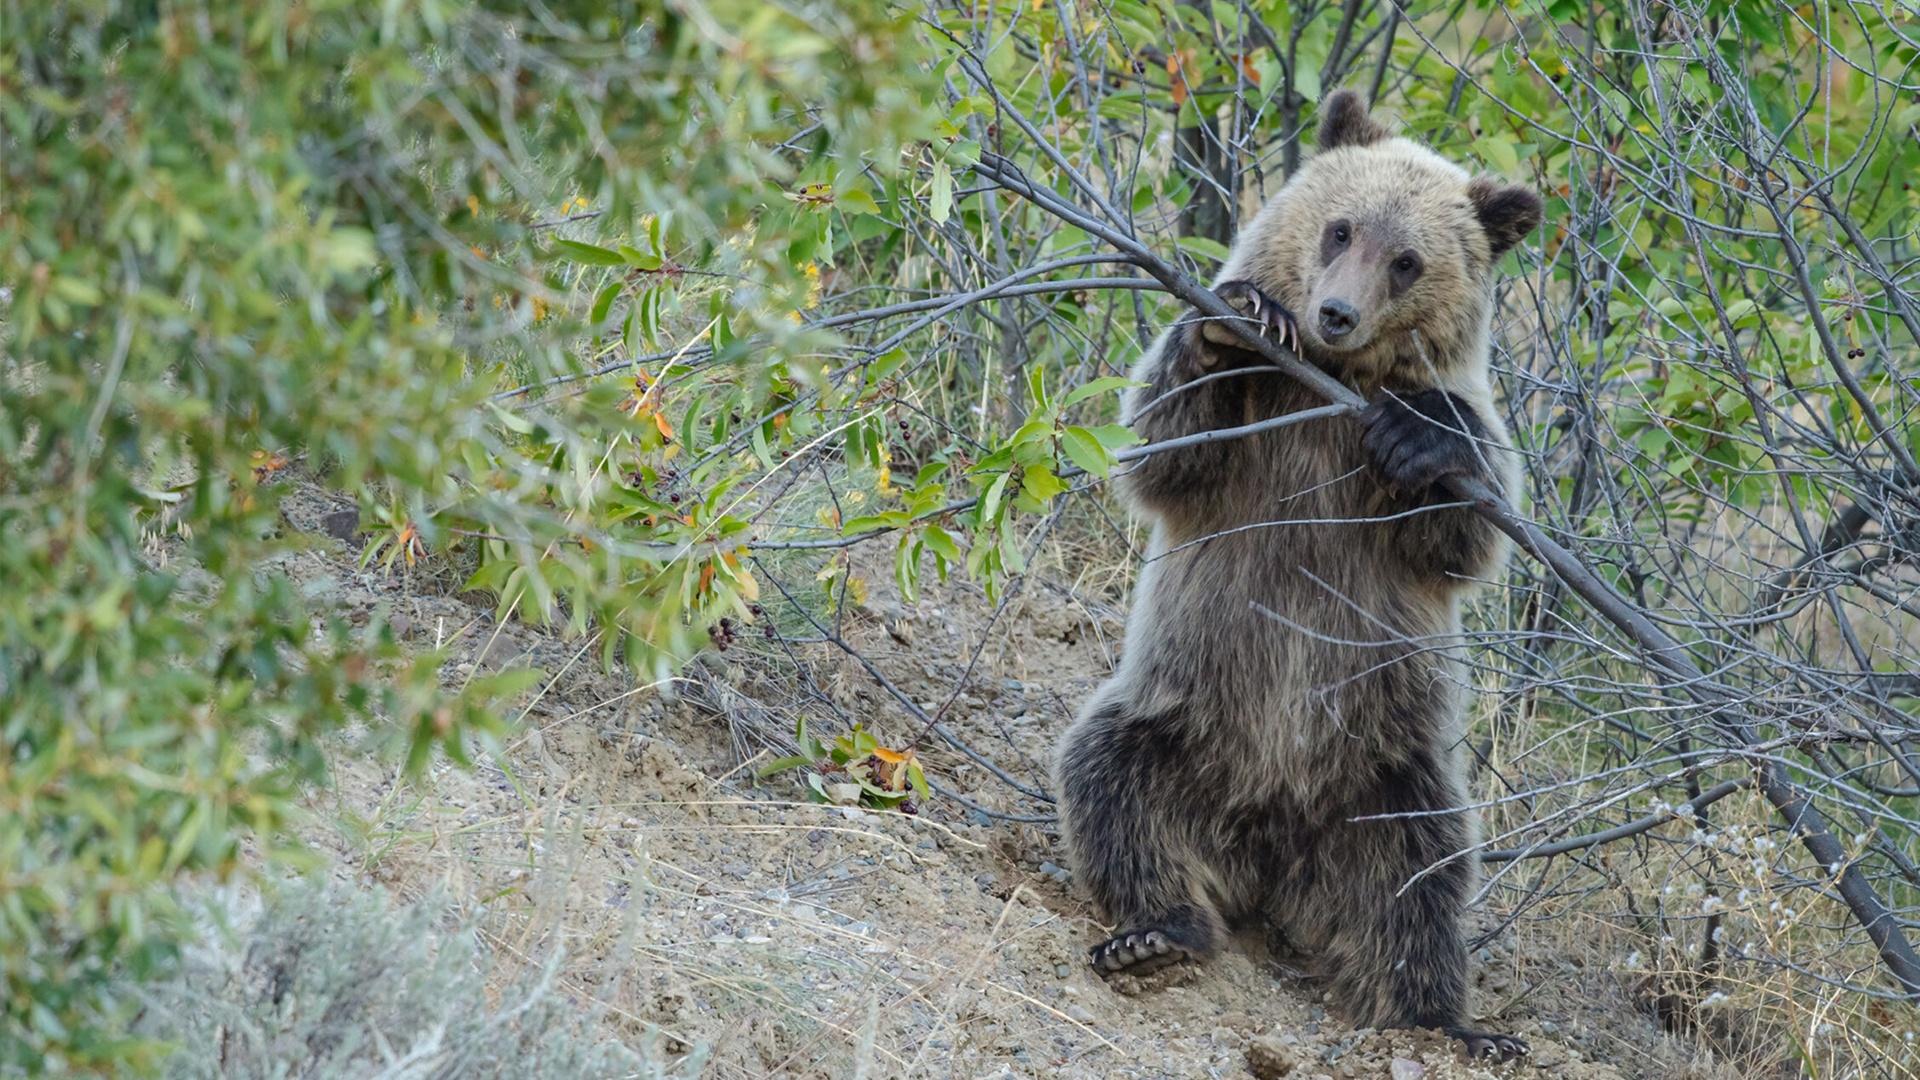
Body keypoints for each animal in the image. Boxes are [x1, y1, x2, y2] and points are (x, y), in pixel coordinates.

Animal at [1052, 89, 1541, 1063]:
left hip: (1388, 766)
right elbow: (1163, 444)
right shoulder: (1252, 446)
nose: (1336, 314)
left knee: (1418, 880)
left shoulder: (1397, 477)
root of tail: (1268, 848)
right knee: (1112, 786)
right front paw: (1231, 321)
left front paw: (1419, 433)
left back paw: (1448, 1020)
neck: (1326, 389)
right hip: (1181, 715)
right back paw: (1153, 935)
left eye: (1407, 260)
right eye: (1338, 227)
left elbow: (1465, 526)